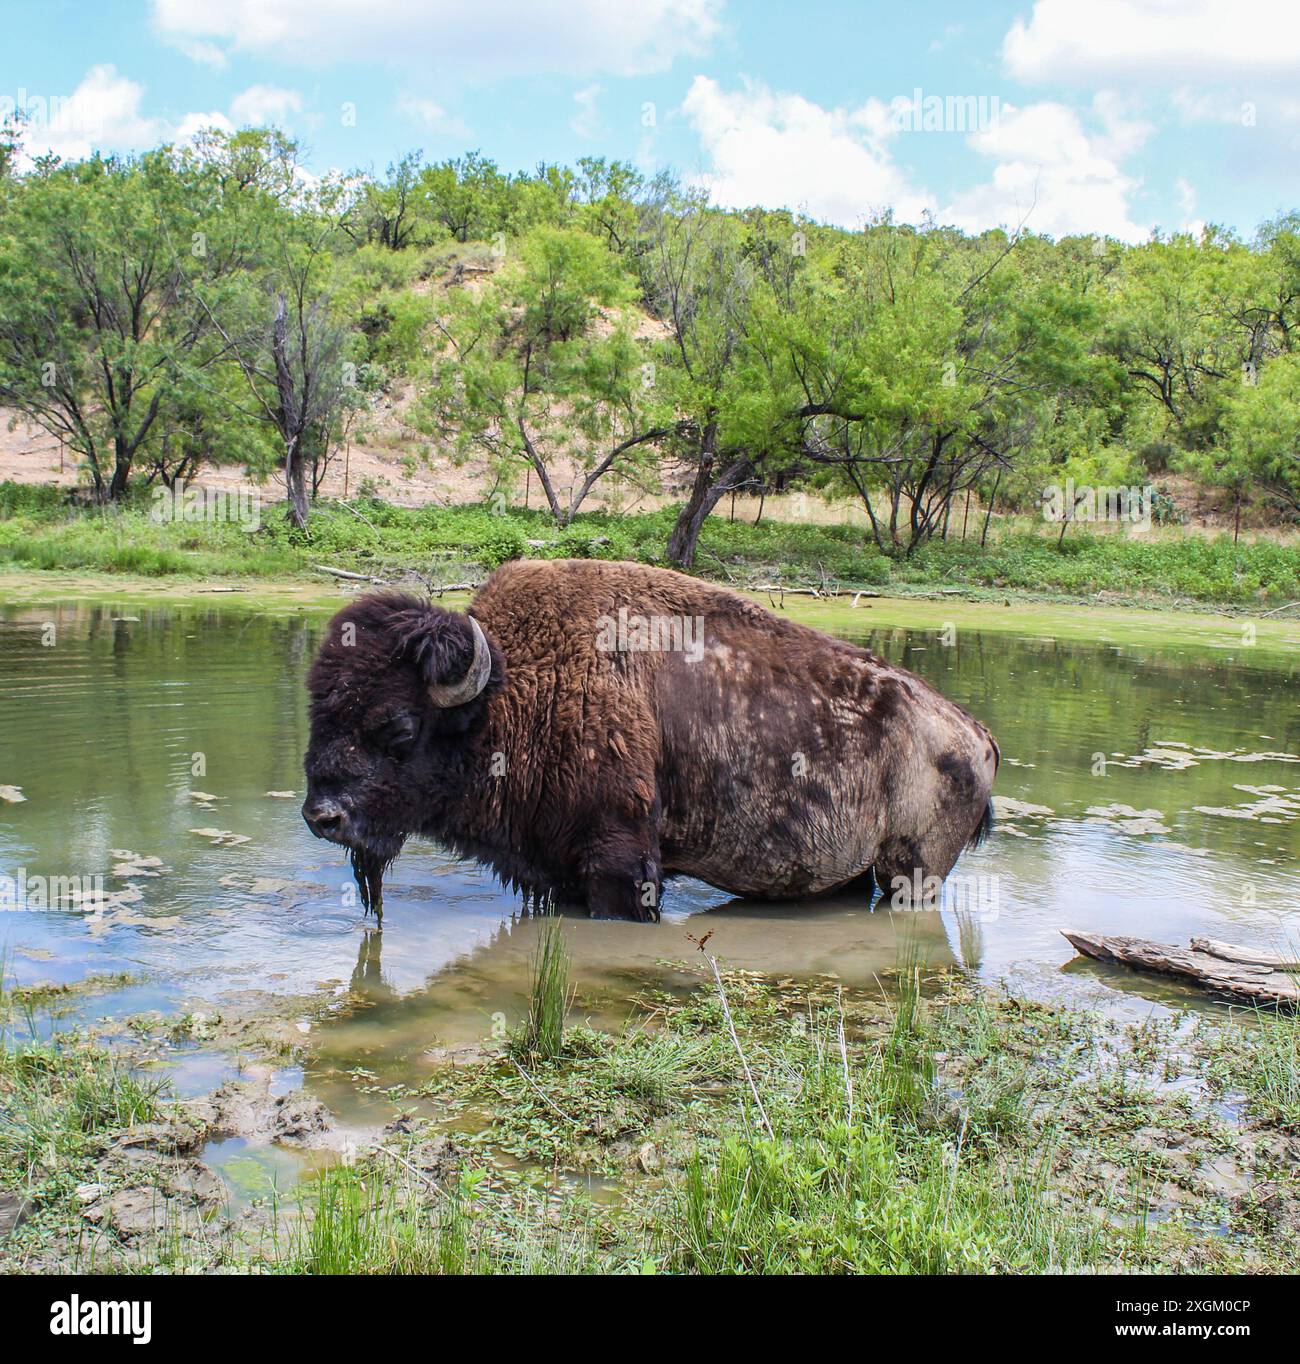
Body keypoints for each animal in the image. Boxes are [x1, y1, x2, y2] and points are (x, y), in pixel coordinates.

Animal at [302, 559, 997, 922]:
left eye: (399, 726)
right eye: (317, 714)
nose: (320, 816)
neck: (512, 686)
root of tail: (975, 733)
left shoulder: (620, 862)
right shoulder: (557, 870)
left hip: (914, 873)